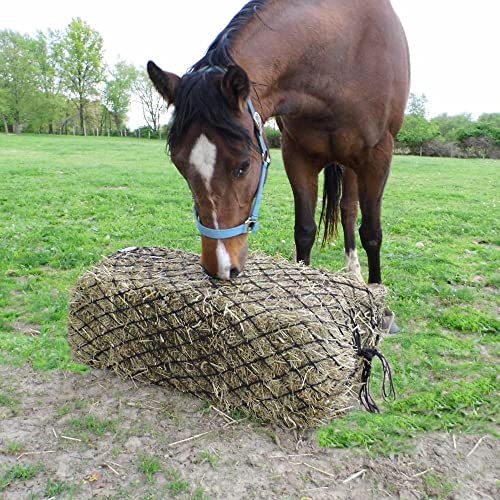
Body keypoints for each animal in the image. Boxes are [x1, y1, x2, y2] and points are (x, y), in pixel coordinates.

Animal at [146, 0, 410, 284]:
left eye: (243, 166)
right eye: (180, 165)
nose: (220, 268)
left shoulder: (377, 158)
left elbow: (372, 234)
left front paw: (376, 289)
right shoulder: (297, 154)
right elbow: (304, 230)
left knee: (349, 211)